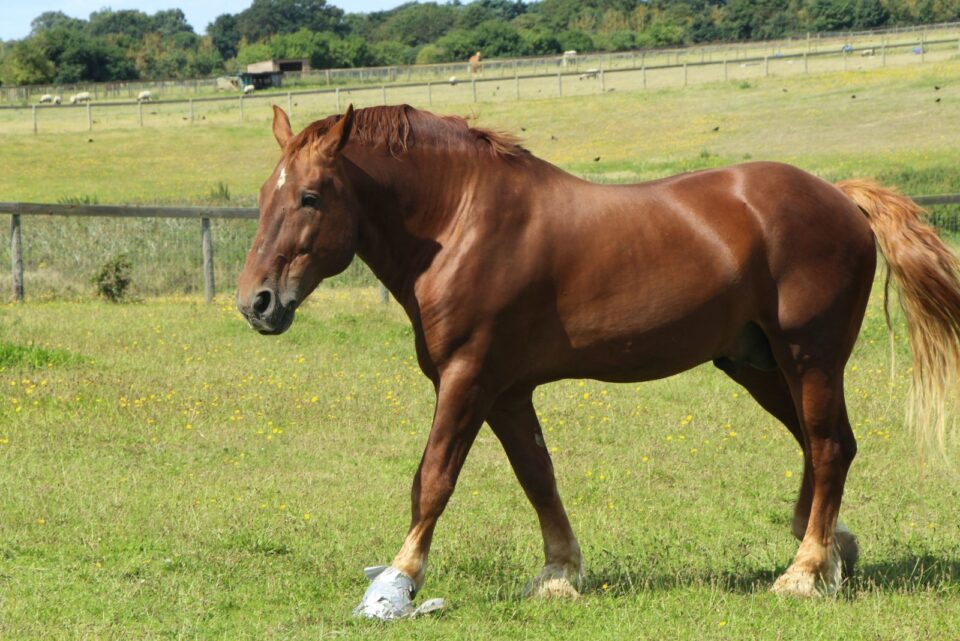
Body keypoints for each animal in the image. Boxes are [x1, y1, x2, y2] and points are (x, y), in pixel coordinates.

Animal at [236, 104, 960, 619]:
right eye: (266, 194)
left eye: (310, 196)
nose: (257, 302)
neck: (463, 222)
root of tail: (839, 196)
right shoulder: (507, 390)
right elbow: (538, 477)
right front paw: (560, 573)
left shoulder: (468, 378)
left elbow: (433, 479)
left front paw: (399, 580)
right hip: (759, 364)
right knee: (822, 444)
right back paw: (831, 554)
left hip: (808, 356)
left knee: (830, 445)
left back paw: (804, 572)